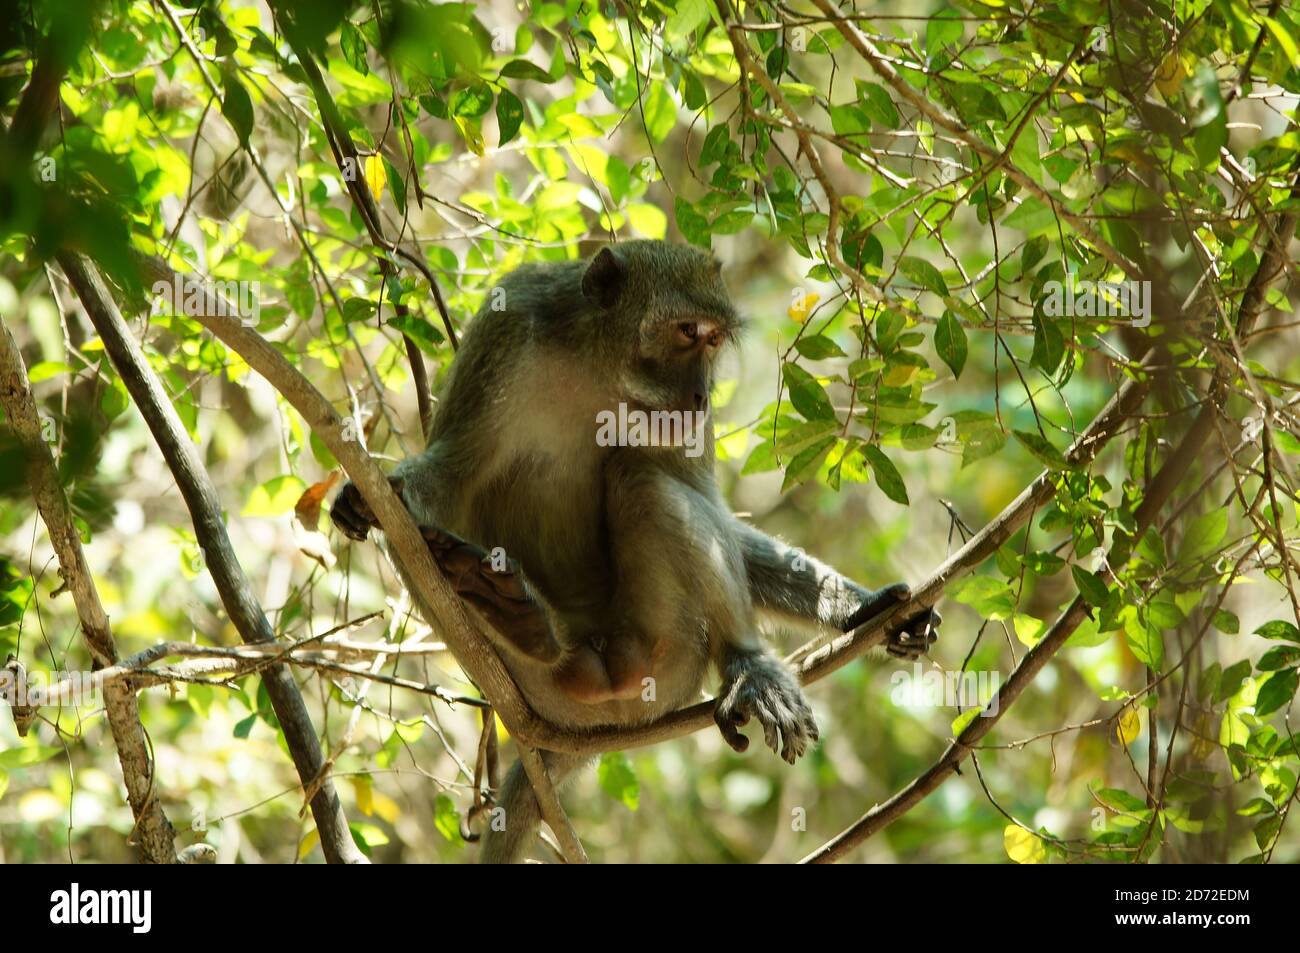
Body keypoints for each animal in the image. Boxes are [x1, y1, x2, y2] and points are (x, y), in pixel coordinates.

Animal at [331, 240, 940, 862]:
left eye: (713, 339)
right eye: (687, 330)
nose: (701, 394)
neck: (596, 368)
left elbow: (704, 503)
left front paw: (861, 608)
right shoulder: (506, 331)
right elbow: (445, 480)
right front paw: (375, 495)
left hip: (671, 662)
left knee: (644, 479)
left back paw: (745, 665)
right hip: (539, 692)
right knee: (414, 541)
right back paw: (527, 628)